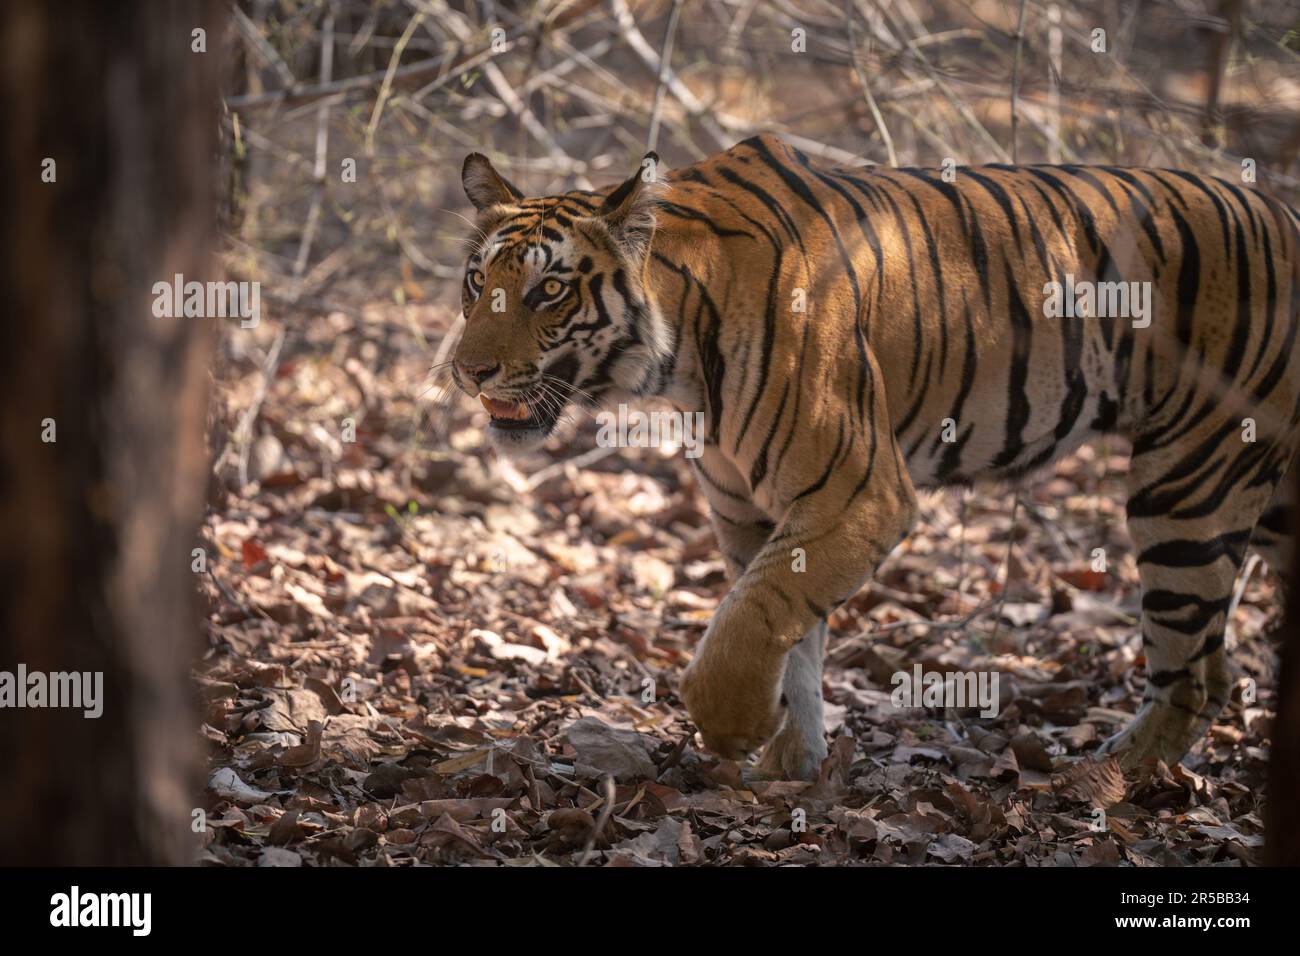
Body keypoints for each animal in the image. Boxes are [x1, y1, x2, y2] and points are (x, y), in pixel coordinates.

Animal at [451, 133, 1300, 781]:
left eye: (549, 291)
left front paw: (735, 729)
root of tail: (1281, 210)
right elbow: (785, 625)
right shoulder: (754, 511)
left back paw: (1110, 777)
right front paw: (792, 760)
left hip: (1188, 484)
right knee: (1216, 665)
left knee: (1196, 669)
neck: (680, 352)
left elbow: (749, 622)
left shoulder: (858, 489)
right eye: (476, 280)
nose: (468, 370)